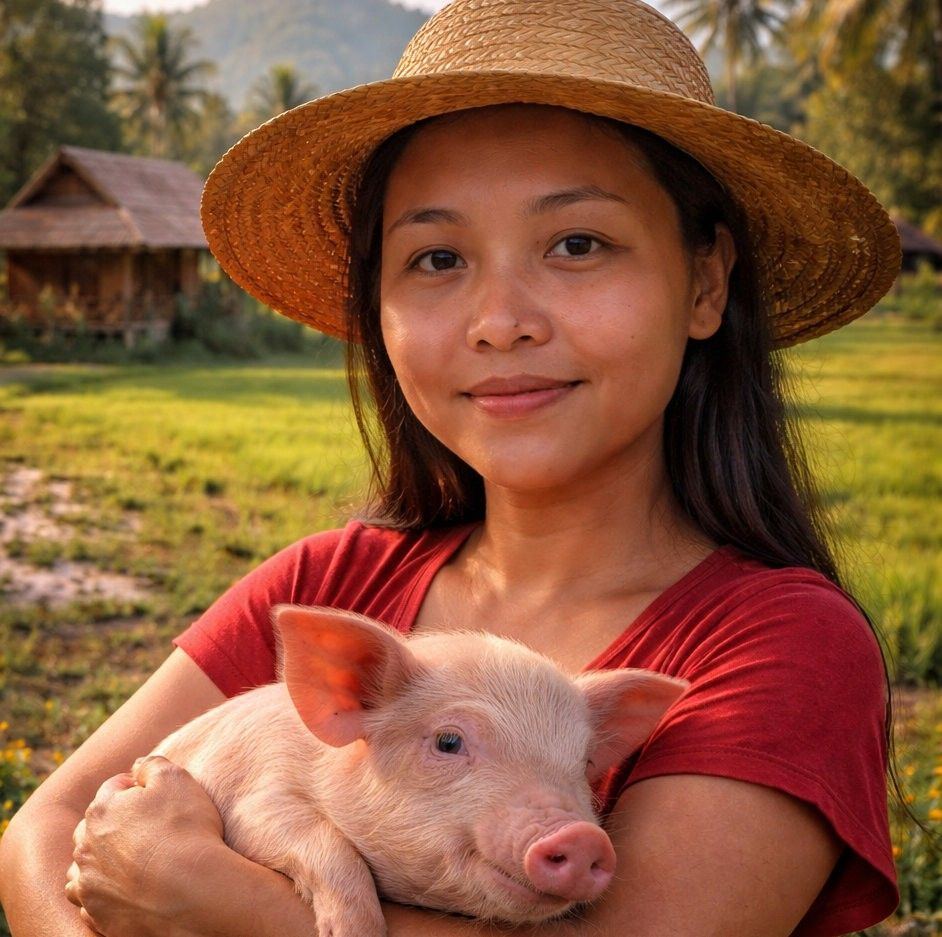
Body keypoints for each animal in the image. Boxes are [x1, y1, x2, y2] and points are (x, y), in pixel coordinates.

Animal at [145, 604, 688, 937]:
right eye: (448, 741)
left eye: (583, 763)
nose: (582, 837)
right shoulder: (254, 796)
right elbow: (314, 837)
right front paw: (355, 933)